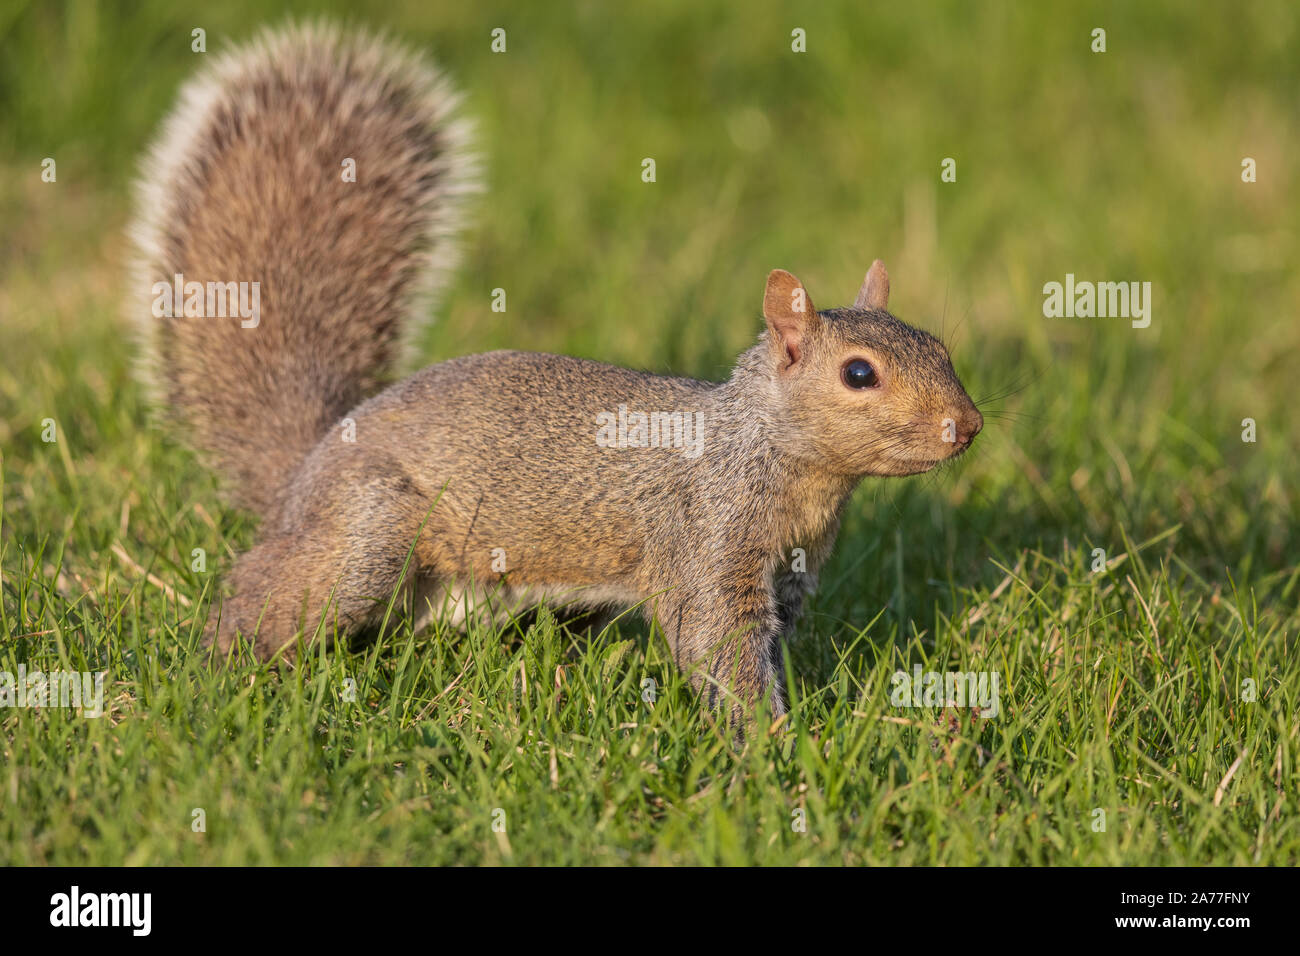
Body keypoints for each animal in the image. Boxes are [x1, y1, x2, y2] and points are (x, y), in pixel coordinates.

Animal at [129, 22, 982, 726]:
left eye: (940, 347)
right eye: (860, 374)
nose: (967, 426)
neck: (786, 463)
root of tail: (305, 469)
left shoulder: (791, 566)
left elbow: (768, 642)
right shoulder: (704, 535)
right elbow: (716, 638)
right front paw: (767, 748)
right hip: (366, 530)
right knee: (272, 589)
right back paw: (219, 664)